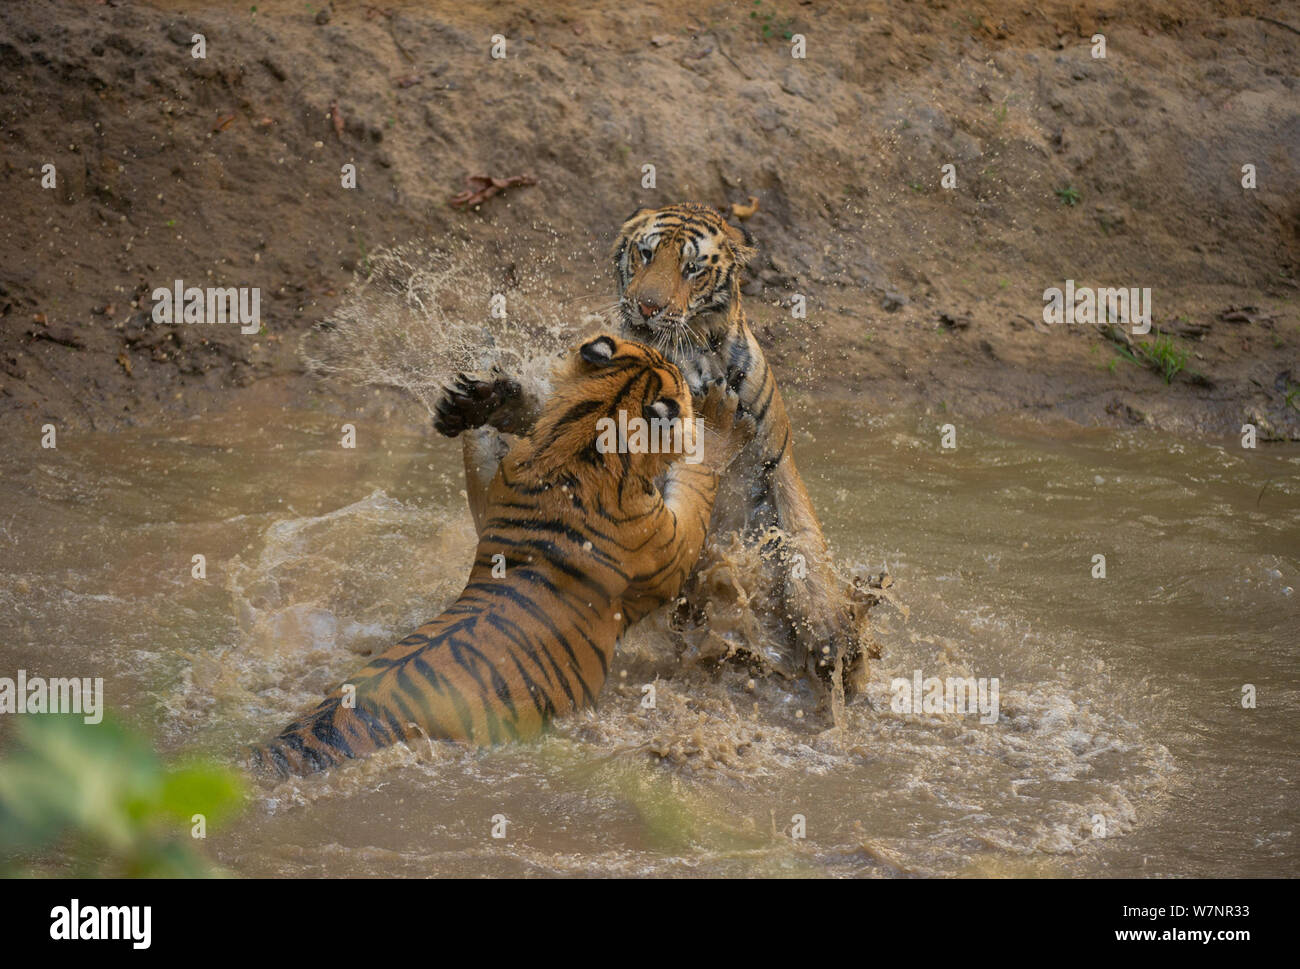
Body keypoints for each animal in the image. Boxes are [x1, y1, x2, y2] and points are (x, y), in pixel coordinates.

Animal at [247, 334, 747, 777]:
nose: (703, 371)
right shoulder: (673, 546)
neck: (583, 440)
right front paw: (722, 413)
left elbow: (484, 455)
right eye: (673, 368)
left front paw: (483, 398)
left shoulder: (495, 493)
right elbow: (701, 474)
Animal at [434, 203, 863, 698]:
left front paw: (832, 639)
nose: (646, 306)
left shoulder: (774, 463)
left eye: (692, 269)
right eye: (645, 254)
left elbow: (802, 545)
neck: (695, 362)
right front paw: (486, 399)